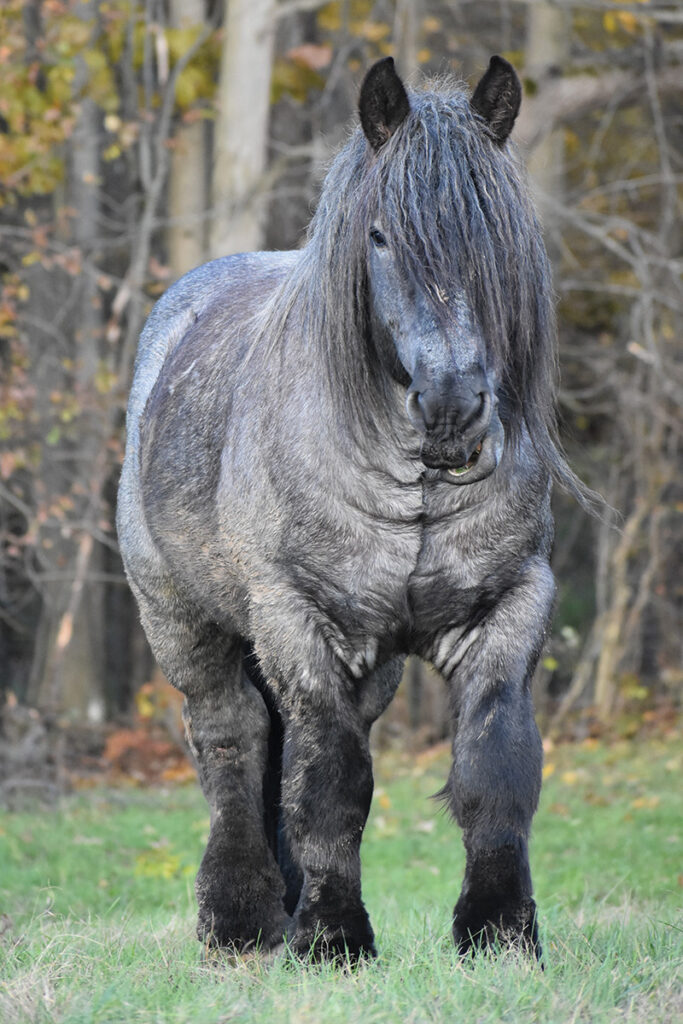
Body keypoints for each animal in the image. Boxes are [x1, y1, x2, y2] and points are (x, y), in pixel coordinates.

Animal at [117, 56, 592, 962]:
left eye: (494, 234)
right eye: (378, 235)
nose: (451, 406)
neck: (411, 486)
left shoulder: (507, 610)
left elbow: (493, 772)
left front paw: (498, 931)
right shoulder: (298, 623)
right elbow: (329, 785)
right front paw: (334, 939)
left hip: (371, 667)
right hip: (182, 623)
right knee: (233, 742)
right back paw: (241, 920)